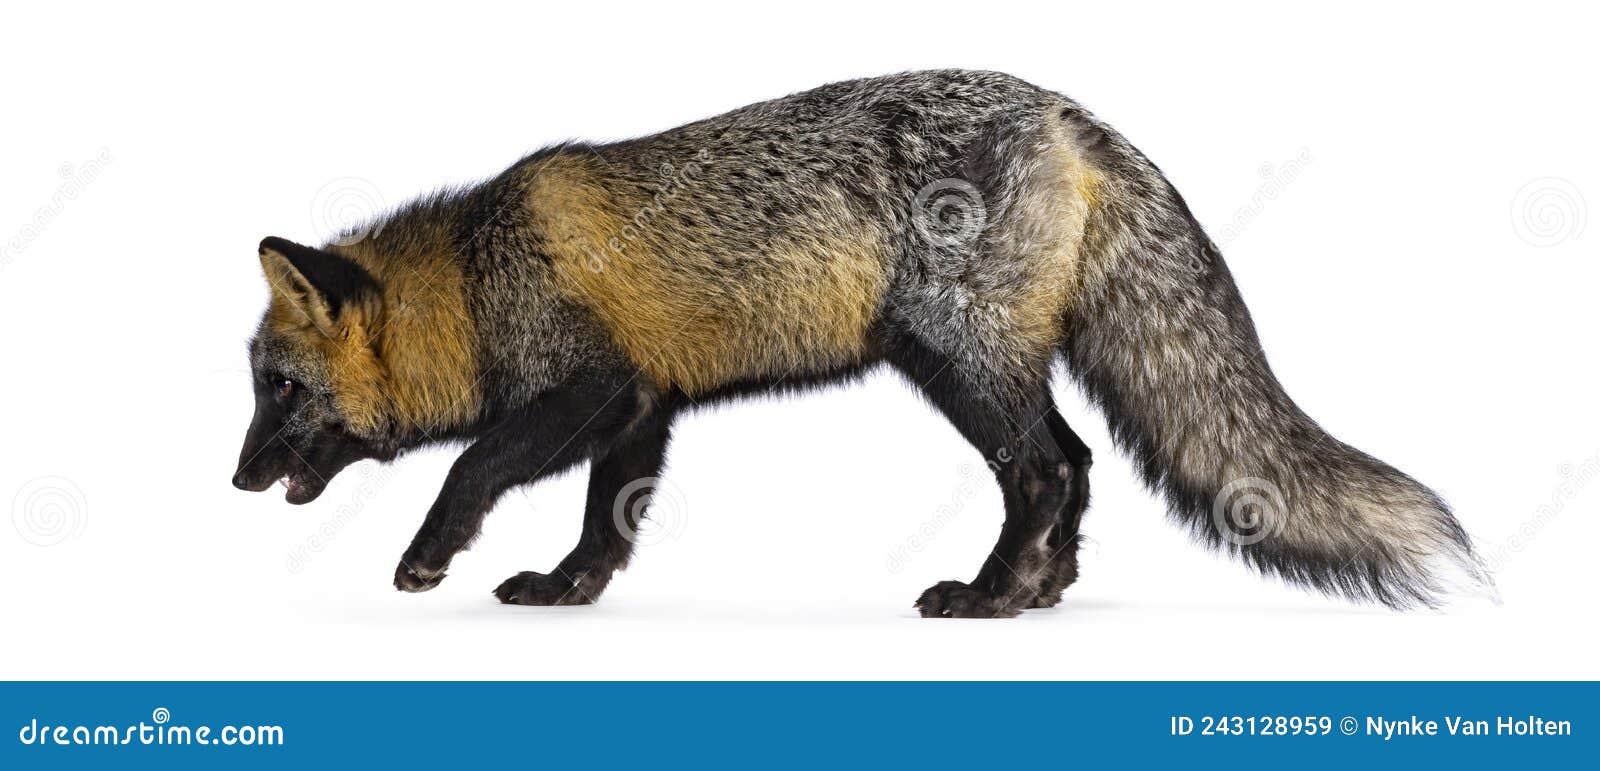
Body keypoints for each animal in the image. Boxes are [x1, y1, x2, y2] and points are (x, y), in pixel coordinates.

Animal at [232, 70, 1491, 617]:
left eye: (279, 390)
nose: (236, 481)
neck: (479, 277)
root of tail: (1065, 110)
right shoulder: (644, 403)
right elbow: (610, 516)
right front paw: (570, 590)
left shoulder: (587, 385)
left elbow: (473, 463)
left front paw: (427, 557)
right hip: (987, 363)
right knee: (1079, 466)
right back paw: (1043, 592)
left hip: (955, 361)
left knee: (1046, 470)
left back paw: (988, 597)